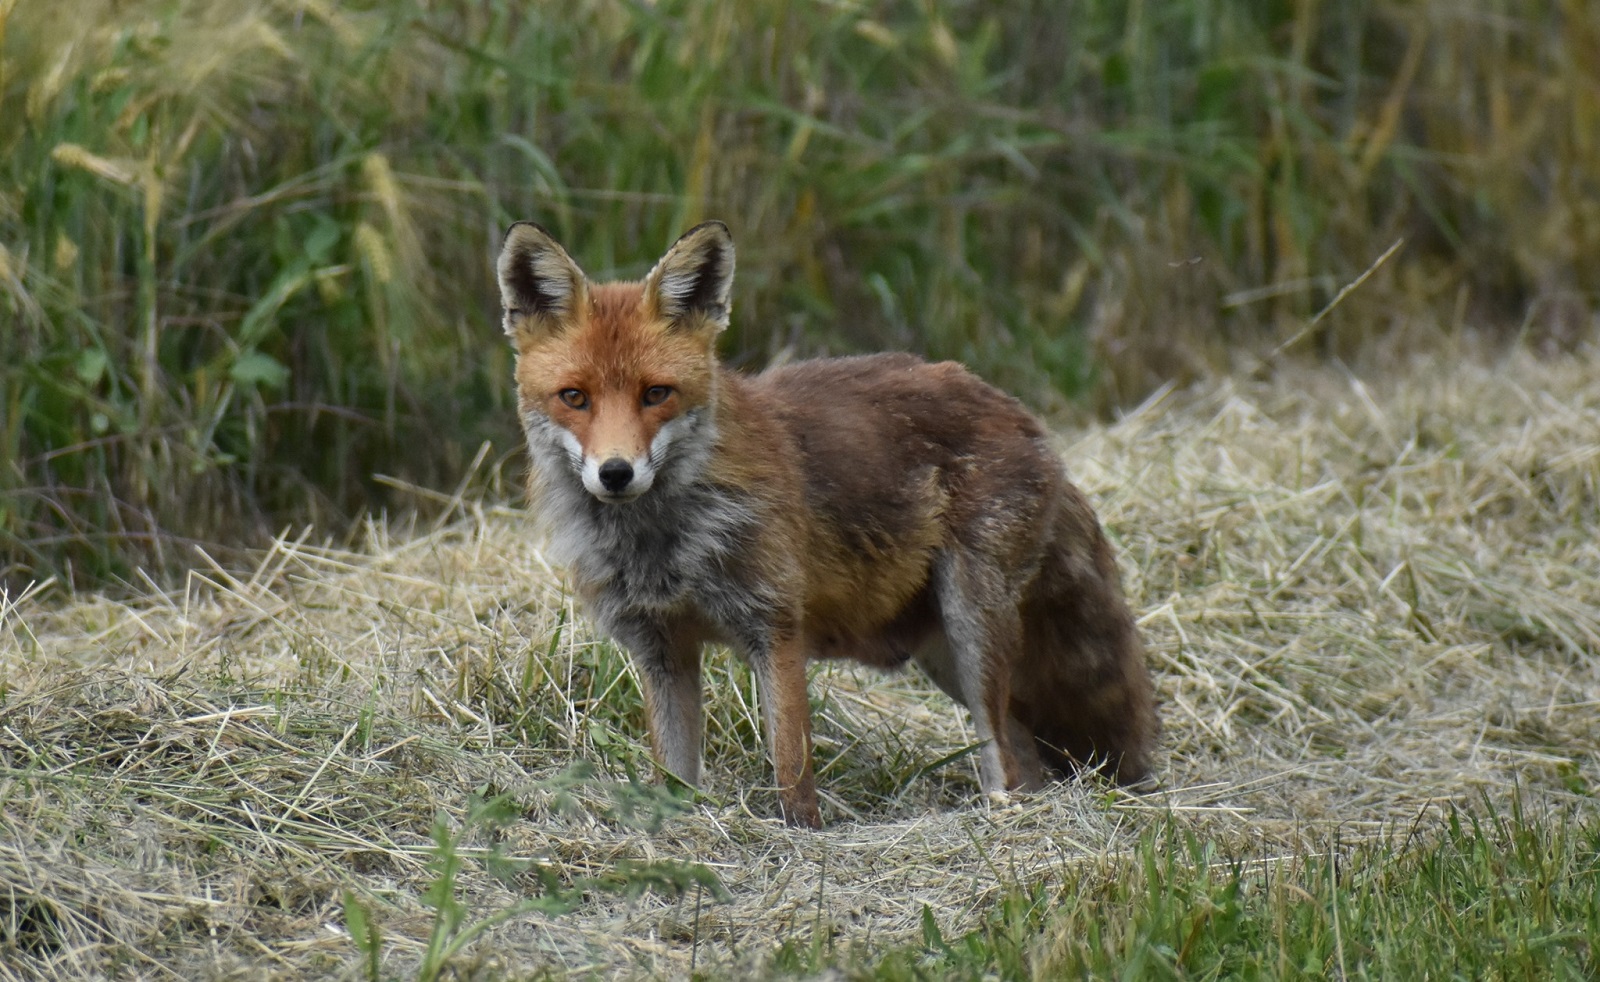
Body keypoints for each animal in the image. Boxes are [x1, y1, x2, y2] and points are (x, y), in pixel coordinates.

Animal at [495, 220, 1156, 828]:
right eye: (574, 398)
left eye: (656, 393)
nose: (615, 473)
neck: (666, 546)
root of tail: (1019, 412)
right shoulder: (659, 648)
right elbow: (673, 777)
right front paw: (677, 835)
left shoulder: (775, 627)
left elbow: (792, 767)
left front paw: (800, 842)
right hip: (941, 652)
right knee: (1025, 756)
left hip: (973, 628)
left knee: (1005, 756)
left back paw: (1000, 821)